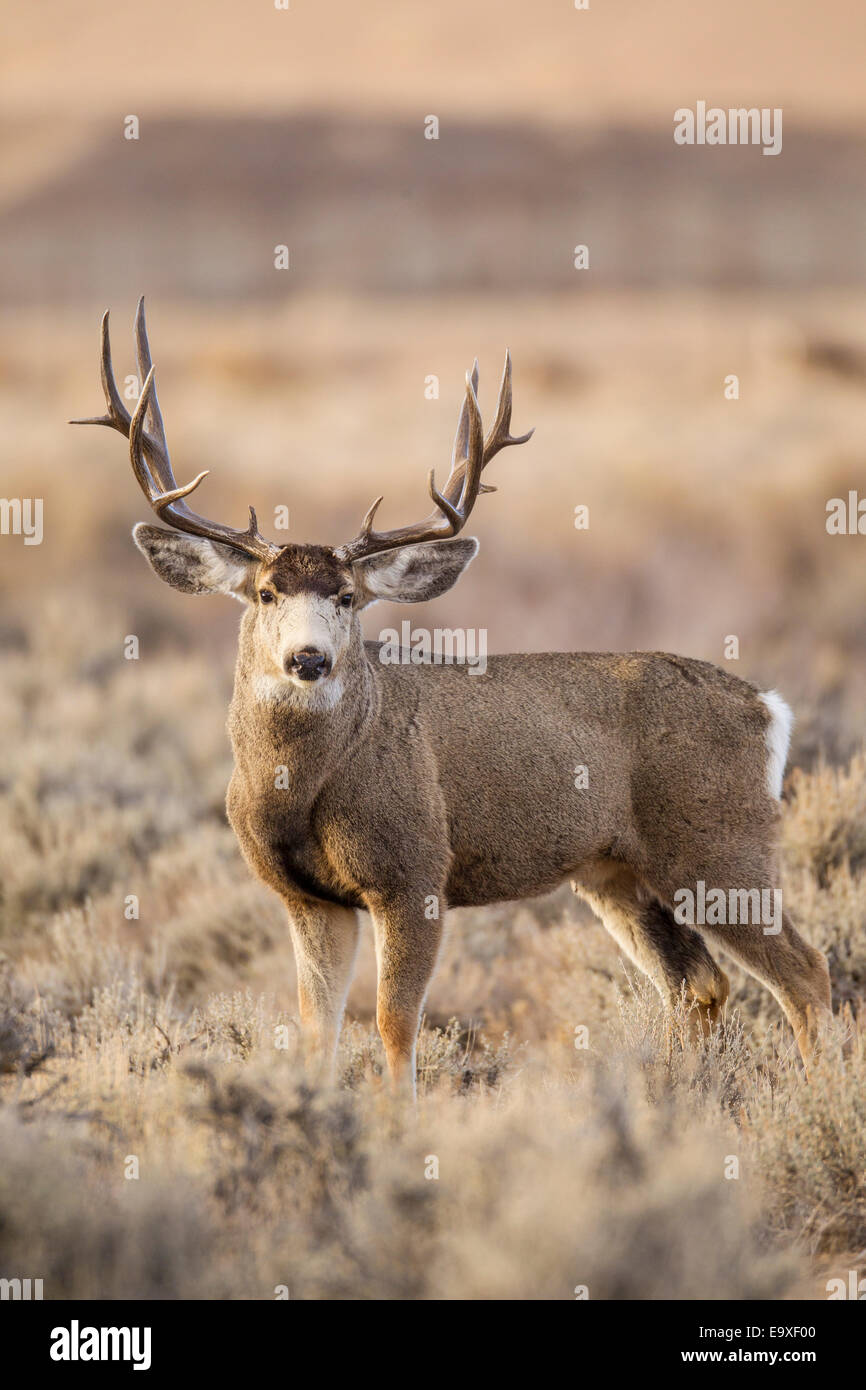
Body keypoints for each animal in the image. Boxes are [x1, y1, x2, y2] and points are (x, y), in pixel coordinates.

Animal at [73, 301, 832, 1094]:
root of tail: (767, 709)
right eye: (266, 592)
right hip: (620, 876)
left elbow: (394, 1022)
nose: (308, 658)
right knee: (698, 986)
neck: (301, 786)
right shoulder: (307, 897)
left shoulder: (415, 872)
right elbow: (316, 1029)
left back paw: (820, 1099)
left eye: (348, 596)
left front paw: (398, 1116)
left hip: (722, 844)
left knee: (805, 974)